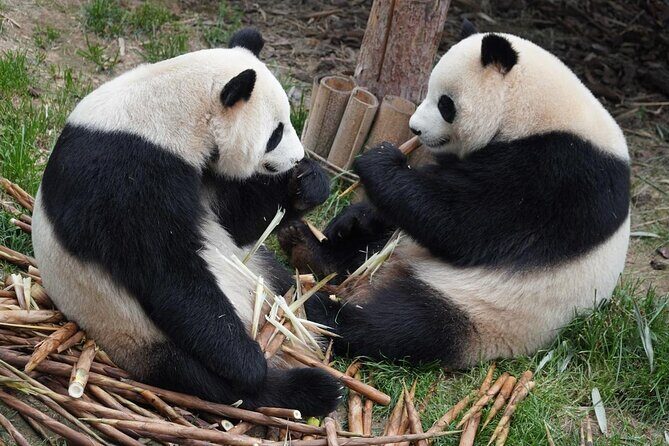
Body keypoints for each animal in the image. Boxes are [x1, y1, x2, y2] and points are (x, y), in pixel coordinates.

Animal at [31, 28, 342, 415]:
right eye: (275, 133)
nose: (297, 157)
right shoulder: (125, 173)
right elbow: (167, 271)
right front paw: (249, 362)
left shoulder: (205, 171)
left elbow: (238, 222)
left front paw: (307, 183)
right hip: (133, 330)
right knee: (212, 382)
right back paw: (309, 387)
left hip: (261, 273)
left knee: (304, 297)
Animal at [278, 23, 631, 368]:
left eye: (445, 103)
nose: (415, 128)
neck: (539, 111)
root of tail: (394, 272)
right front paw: (351, 218)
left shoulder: (560, 174)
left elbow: (465, 223)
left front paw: (378, 160)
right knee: (375, 246)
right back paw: (309, 247)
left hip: (483, 309)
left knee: (405, 325)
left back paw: (319, 310)